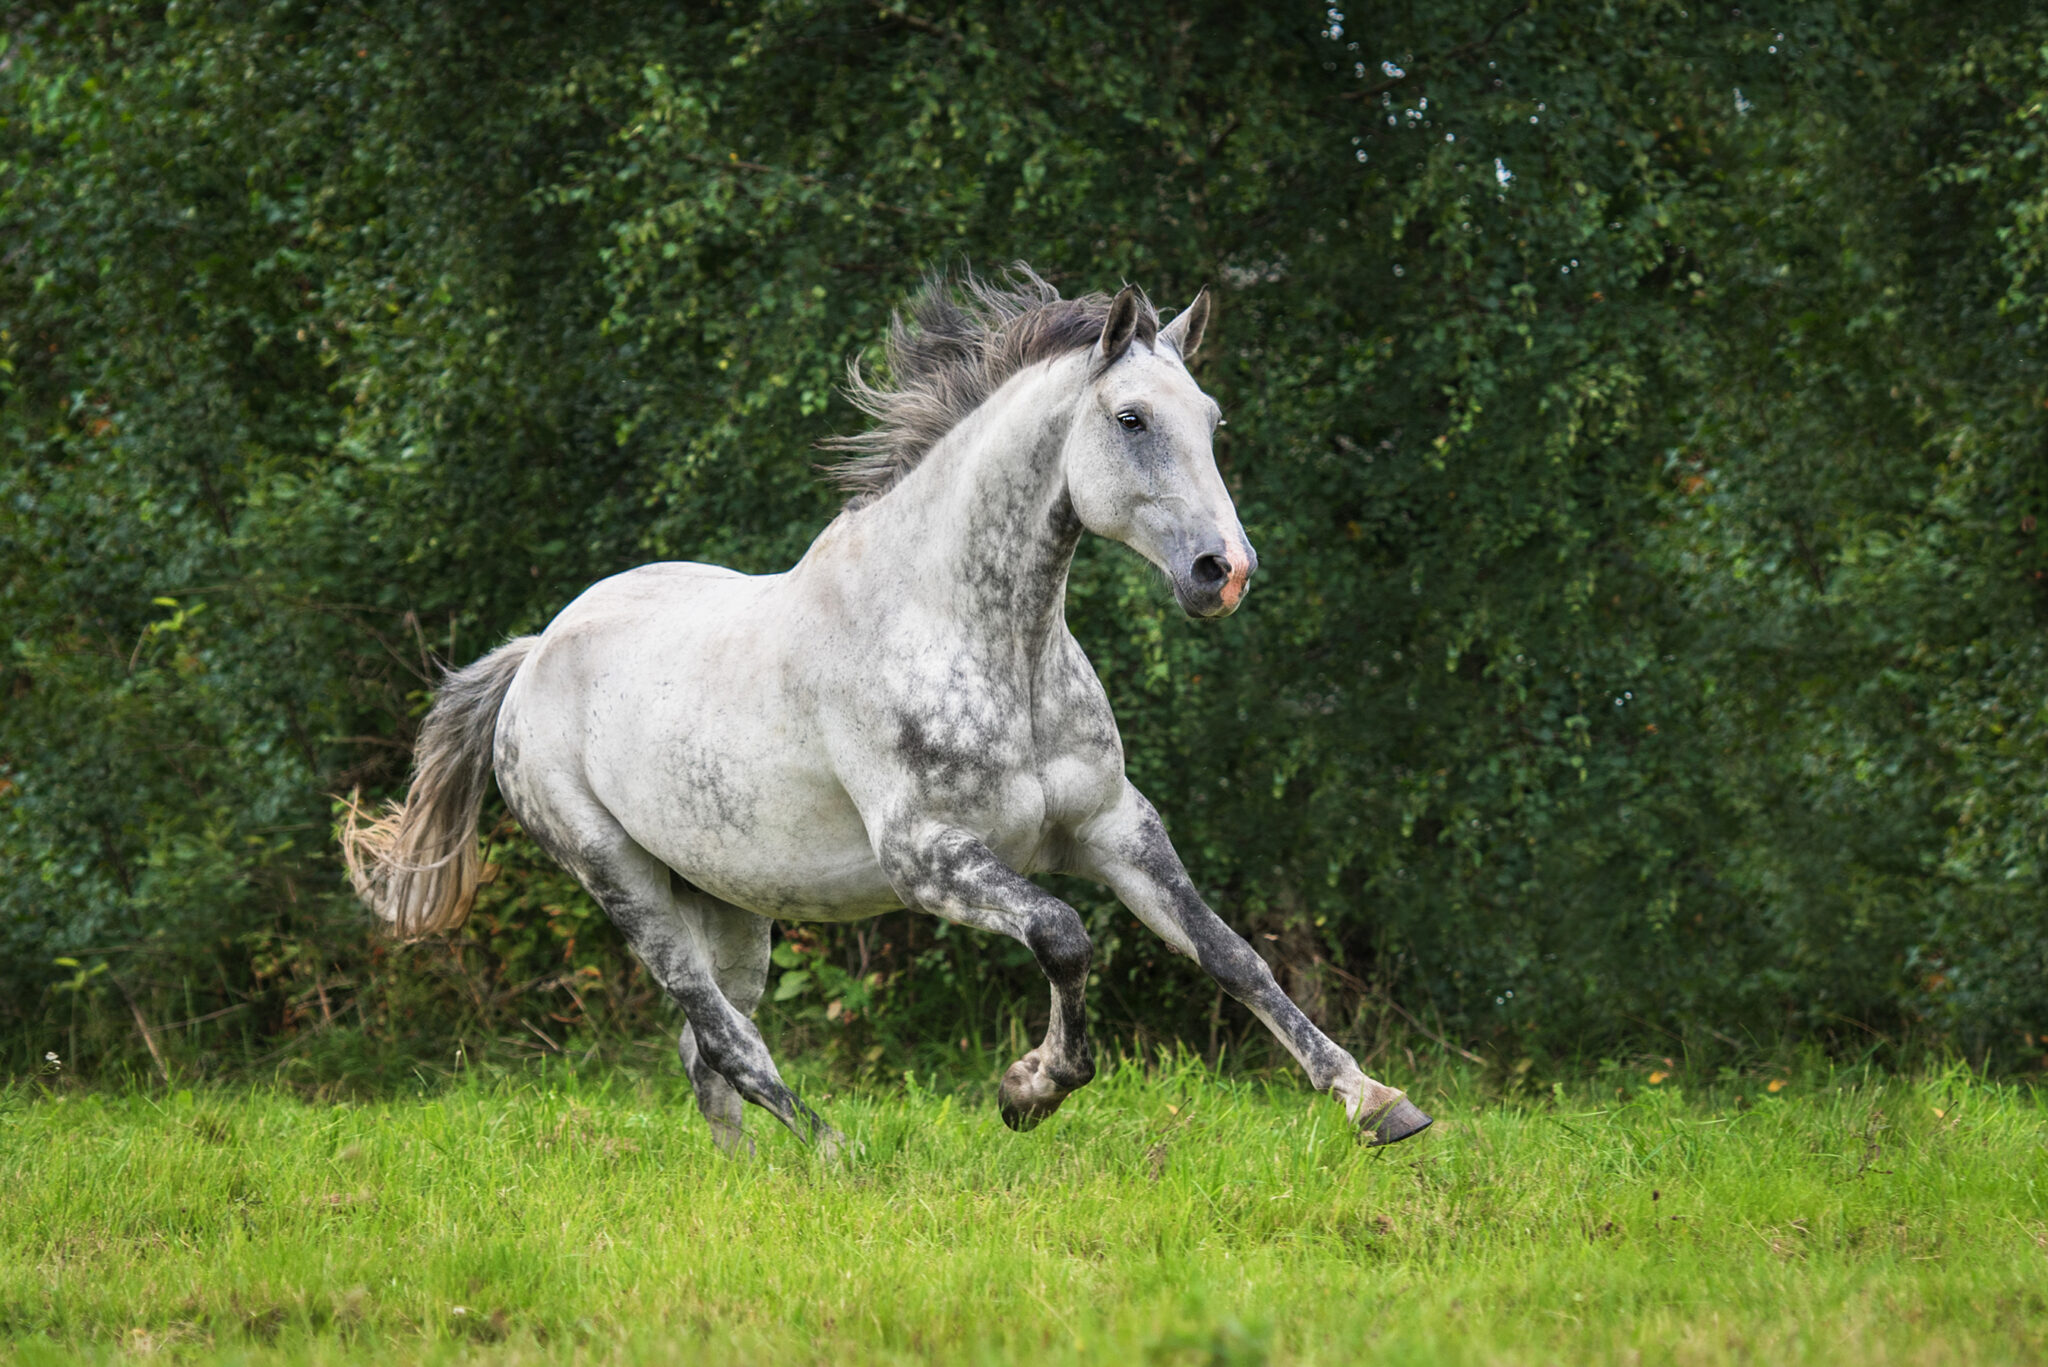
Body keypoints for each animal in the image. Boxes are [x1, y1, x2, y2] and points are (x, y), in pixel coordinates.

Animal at [341, 268, 1432, 1153]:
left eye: (1209, 420)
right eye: (1129, 418)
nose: (1223, 572)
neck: (984, 640)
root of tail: (533, 653)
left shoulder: (1114, 825)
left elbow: (1231, 954)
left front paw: (1377, 1101)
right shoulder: (926, 855)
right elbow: (1063, 934)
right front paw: (1029, 1089)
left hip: (729, 902)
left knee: (707, 1049)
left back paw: (746, 1180)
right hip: (619, 879)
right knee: (729, 1039)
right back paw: (835, 1155)